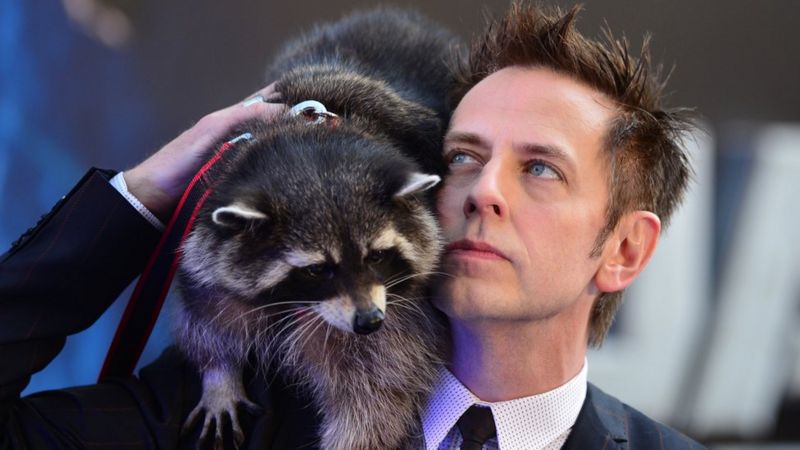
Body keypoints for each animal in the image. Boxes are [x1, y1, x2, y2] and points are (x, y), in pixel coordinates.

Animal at [175, 9, 458, 450]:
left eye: (377, 255)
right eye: (315, 269)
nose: (369, 321)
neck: (310, 141)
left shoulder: (401, 317)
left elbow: (377, 398)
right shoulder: (206, 229)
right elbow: (207, 315)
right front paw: (219, 374)